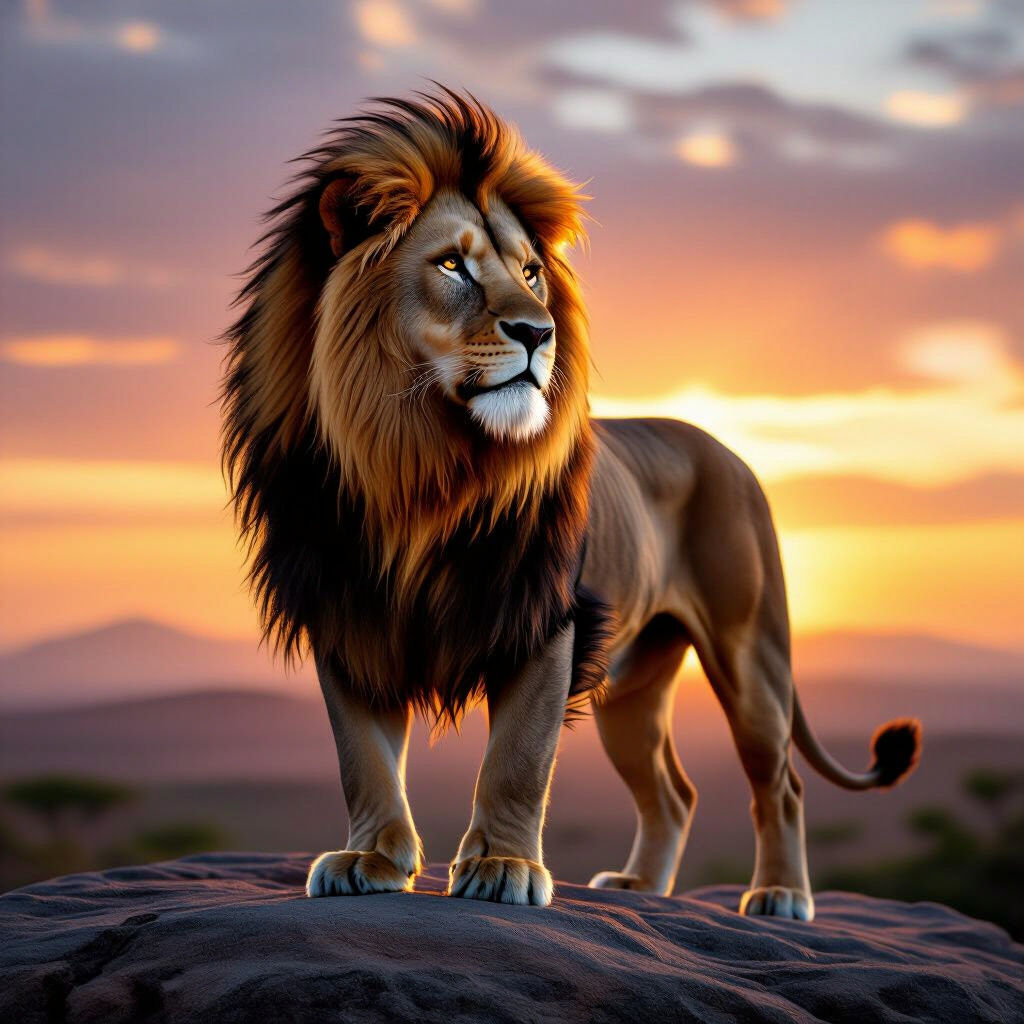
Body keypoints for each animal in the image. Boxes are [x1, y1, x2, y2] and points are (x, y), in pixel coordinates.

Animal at [222, 90, 921, 918]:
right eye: (452, 264)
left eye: (530, 272)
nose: (538, 331)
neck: (414, 466)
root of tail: (732, 452)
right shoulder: (347, 613)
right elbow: (363, 757)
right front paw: (372, 858)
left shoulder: (546, 616)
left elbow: (519, 759)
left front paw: (504, 868)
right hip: (635, 684)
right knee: (673, 792)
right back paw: (642, 886)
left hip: (750, 657)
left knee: (780, 782)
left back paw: (780, 894)